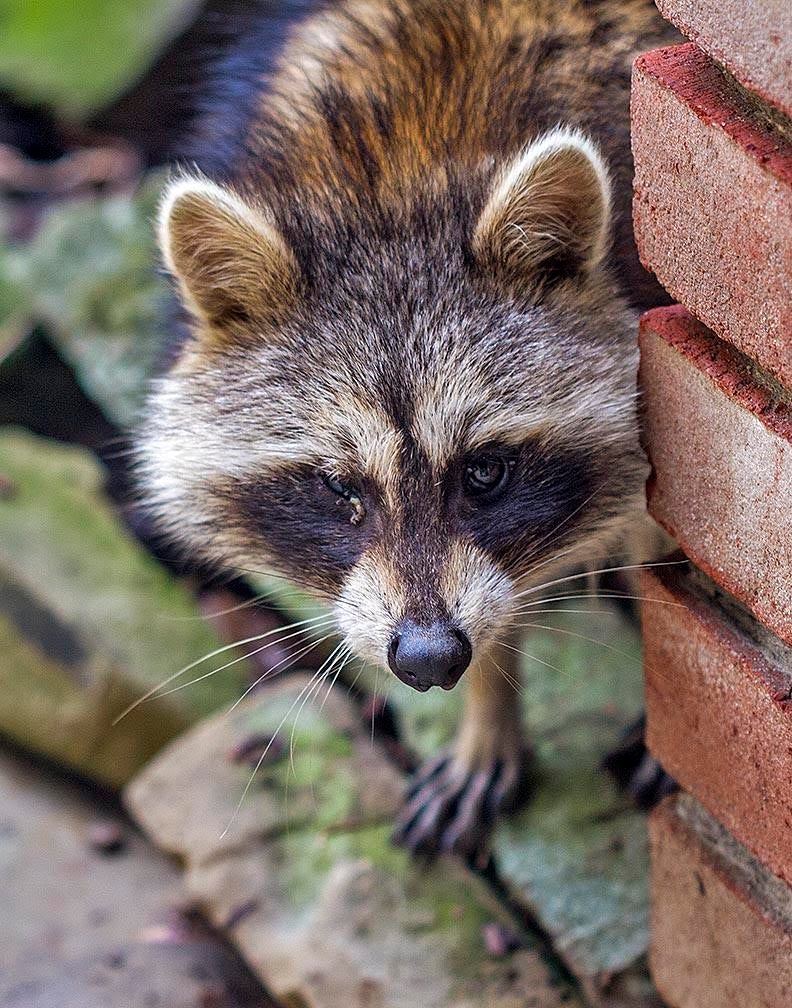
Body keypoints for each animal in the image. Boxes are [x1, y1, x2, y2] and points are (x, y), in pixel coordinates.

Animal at [140, 0, 677, 856]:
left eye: (484, 470)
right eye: (336, 486)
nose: (428, 660)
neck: (393, 178)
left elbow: (668, 552)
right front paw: (488, 706)